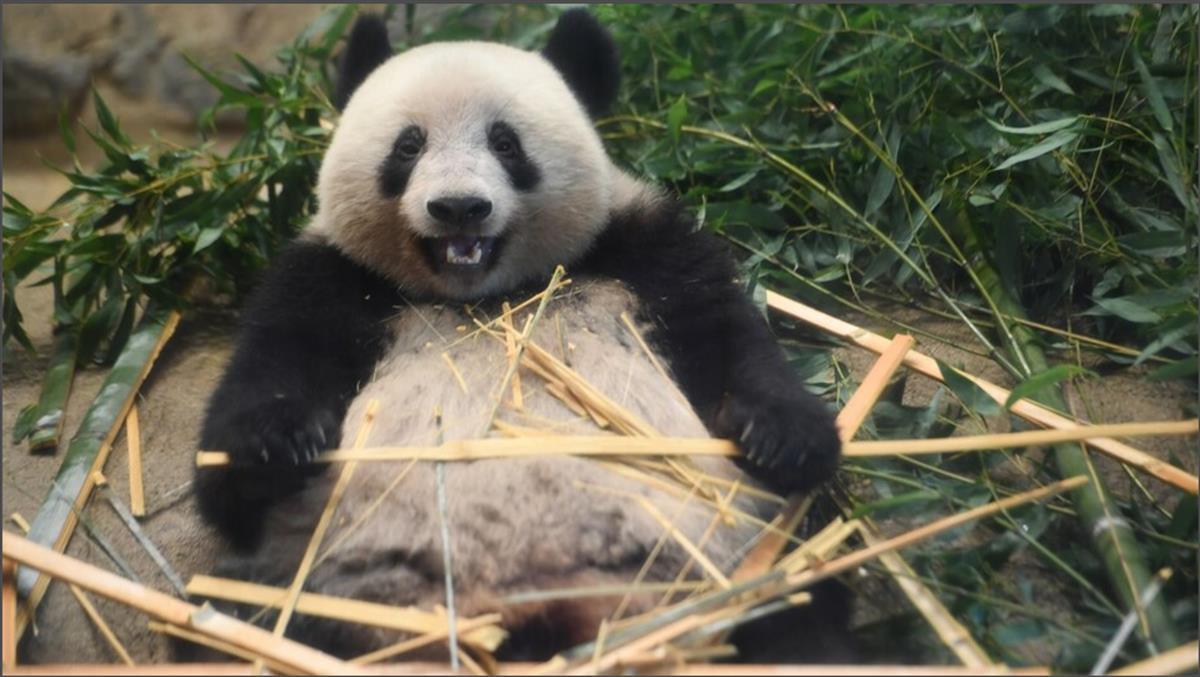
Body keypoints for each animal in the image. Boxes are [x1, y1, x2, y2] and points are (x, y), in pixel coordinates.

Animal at [193, 9, 850, 664]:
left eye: (505, 143)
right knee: (243, 614)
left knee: (801, 606)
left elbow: (726, 339)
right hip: (331, 592)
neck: (485, 297)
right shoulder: (328, 277)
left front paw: (779, 437)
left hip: (736, 567)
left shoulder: (644, 248)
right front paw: (278, 442)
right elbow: (251, 422)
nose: (459, 208)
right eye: (409, 145)